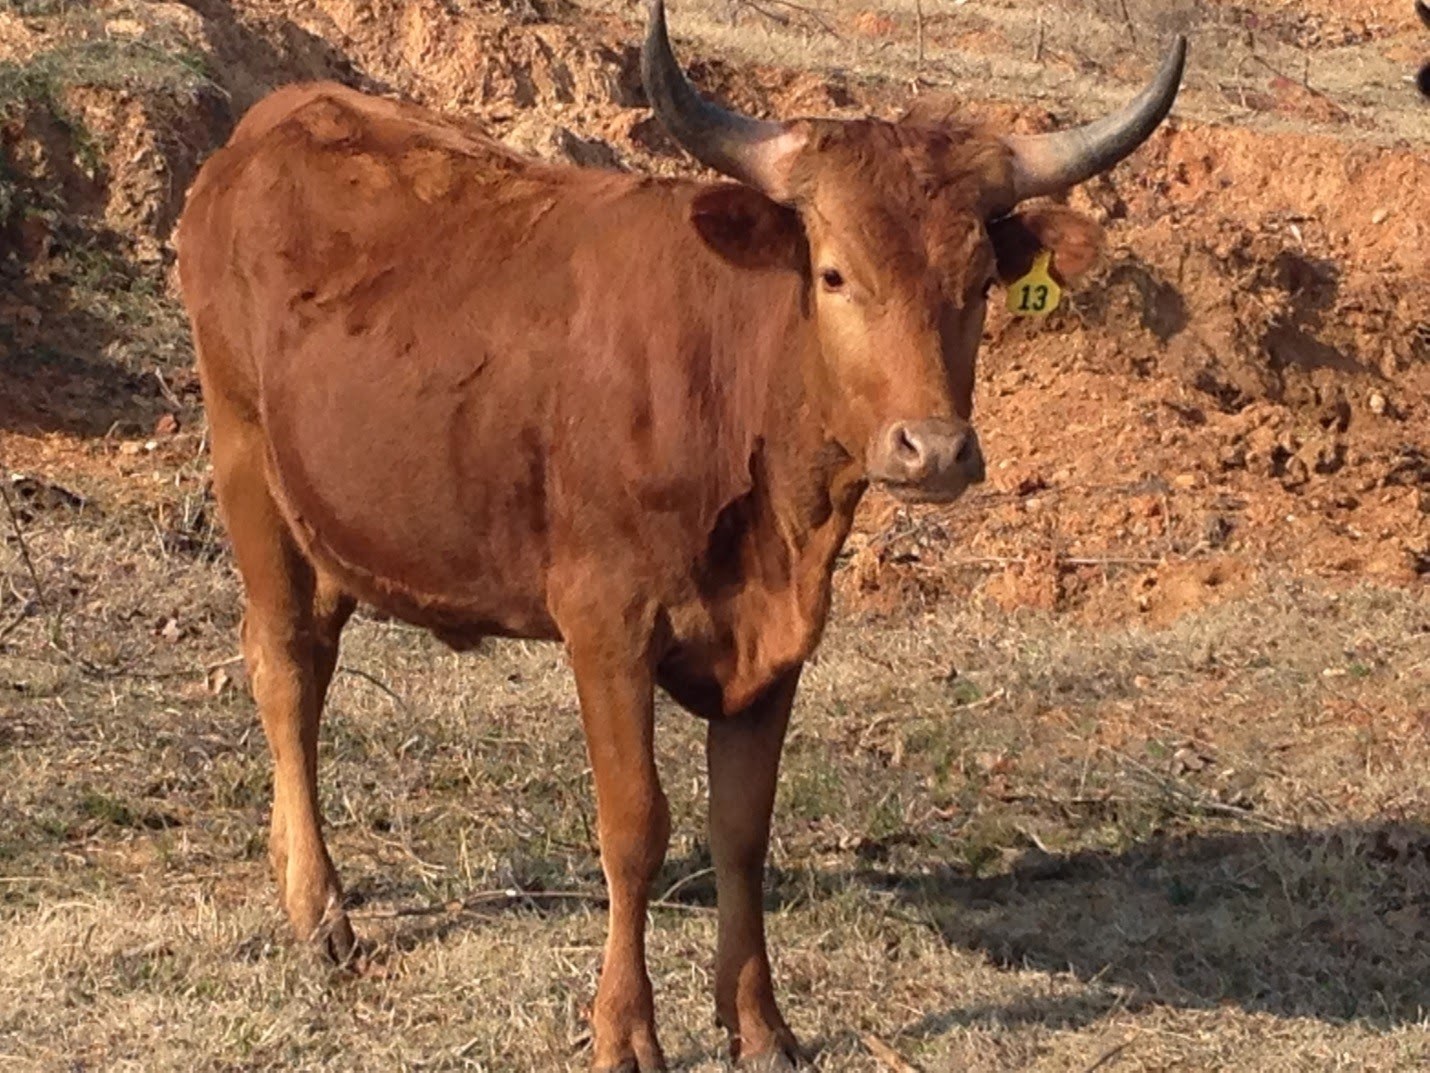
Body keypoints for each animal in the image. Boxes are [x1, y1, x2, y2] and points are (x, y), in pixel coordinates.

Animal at [176, 2, 1185, 1068]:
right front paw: (624, 1026)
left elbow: (742, 828)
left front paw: (761, 1021)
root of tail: (271, 123)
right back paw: (321, 909)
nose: (936, 448)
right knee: (286, 669)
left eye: (985, 280)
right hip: (244, 463)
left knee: (317, 658)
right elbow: (636, 826)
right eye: (834, 272)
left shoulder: (777, 643)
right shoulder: (606, 624)